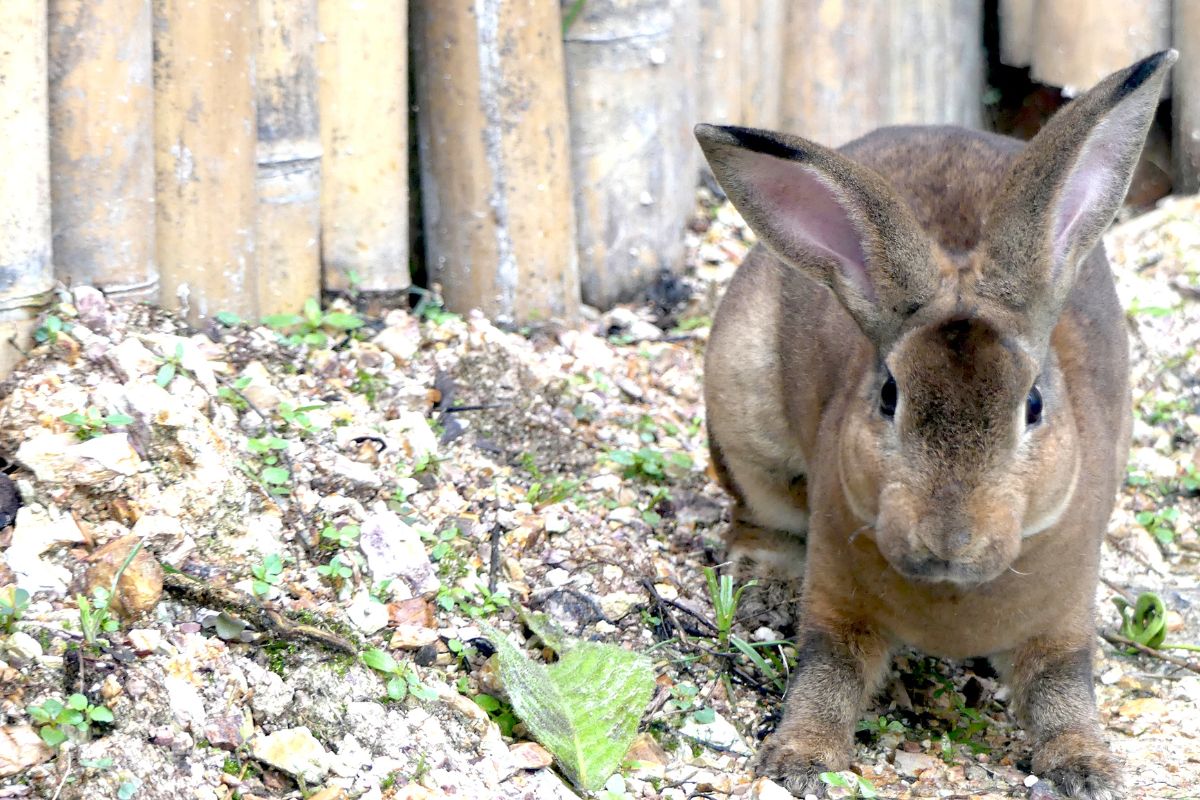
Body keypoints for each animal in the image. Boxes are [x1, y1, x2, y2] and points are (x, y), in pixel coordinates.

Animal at [694, 50, 1176, 800]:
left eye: (1033, 405)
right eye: (890, 396)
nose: (948, 538)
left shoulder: (1064, 618)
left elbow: (1063, 689)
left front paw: (1086, 768)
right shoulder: (836, 601)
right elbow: (828, 673)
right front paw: (799, 759)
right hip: (743, 419)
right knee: (757, 514)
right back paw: (762, 587)